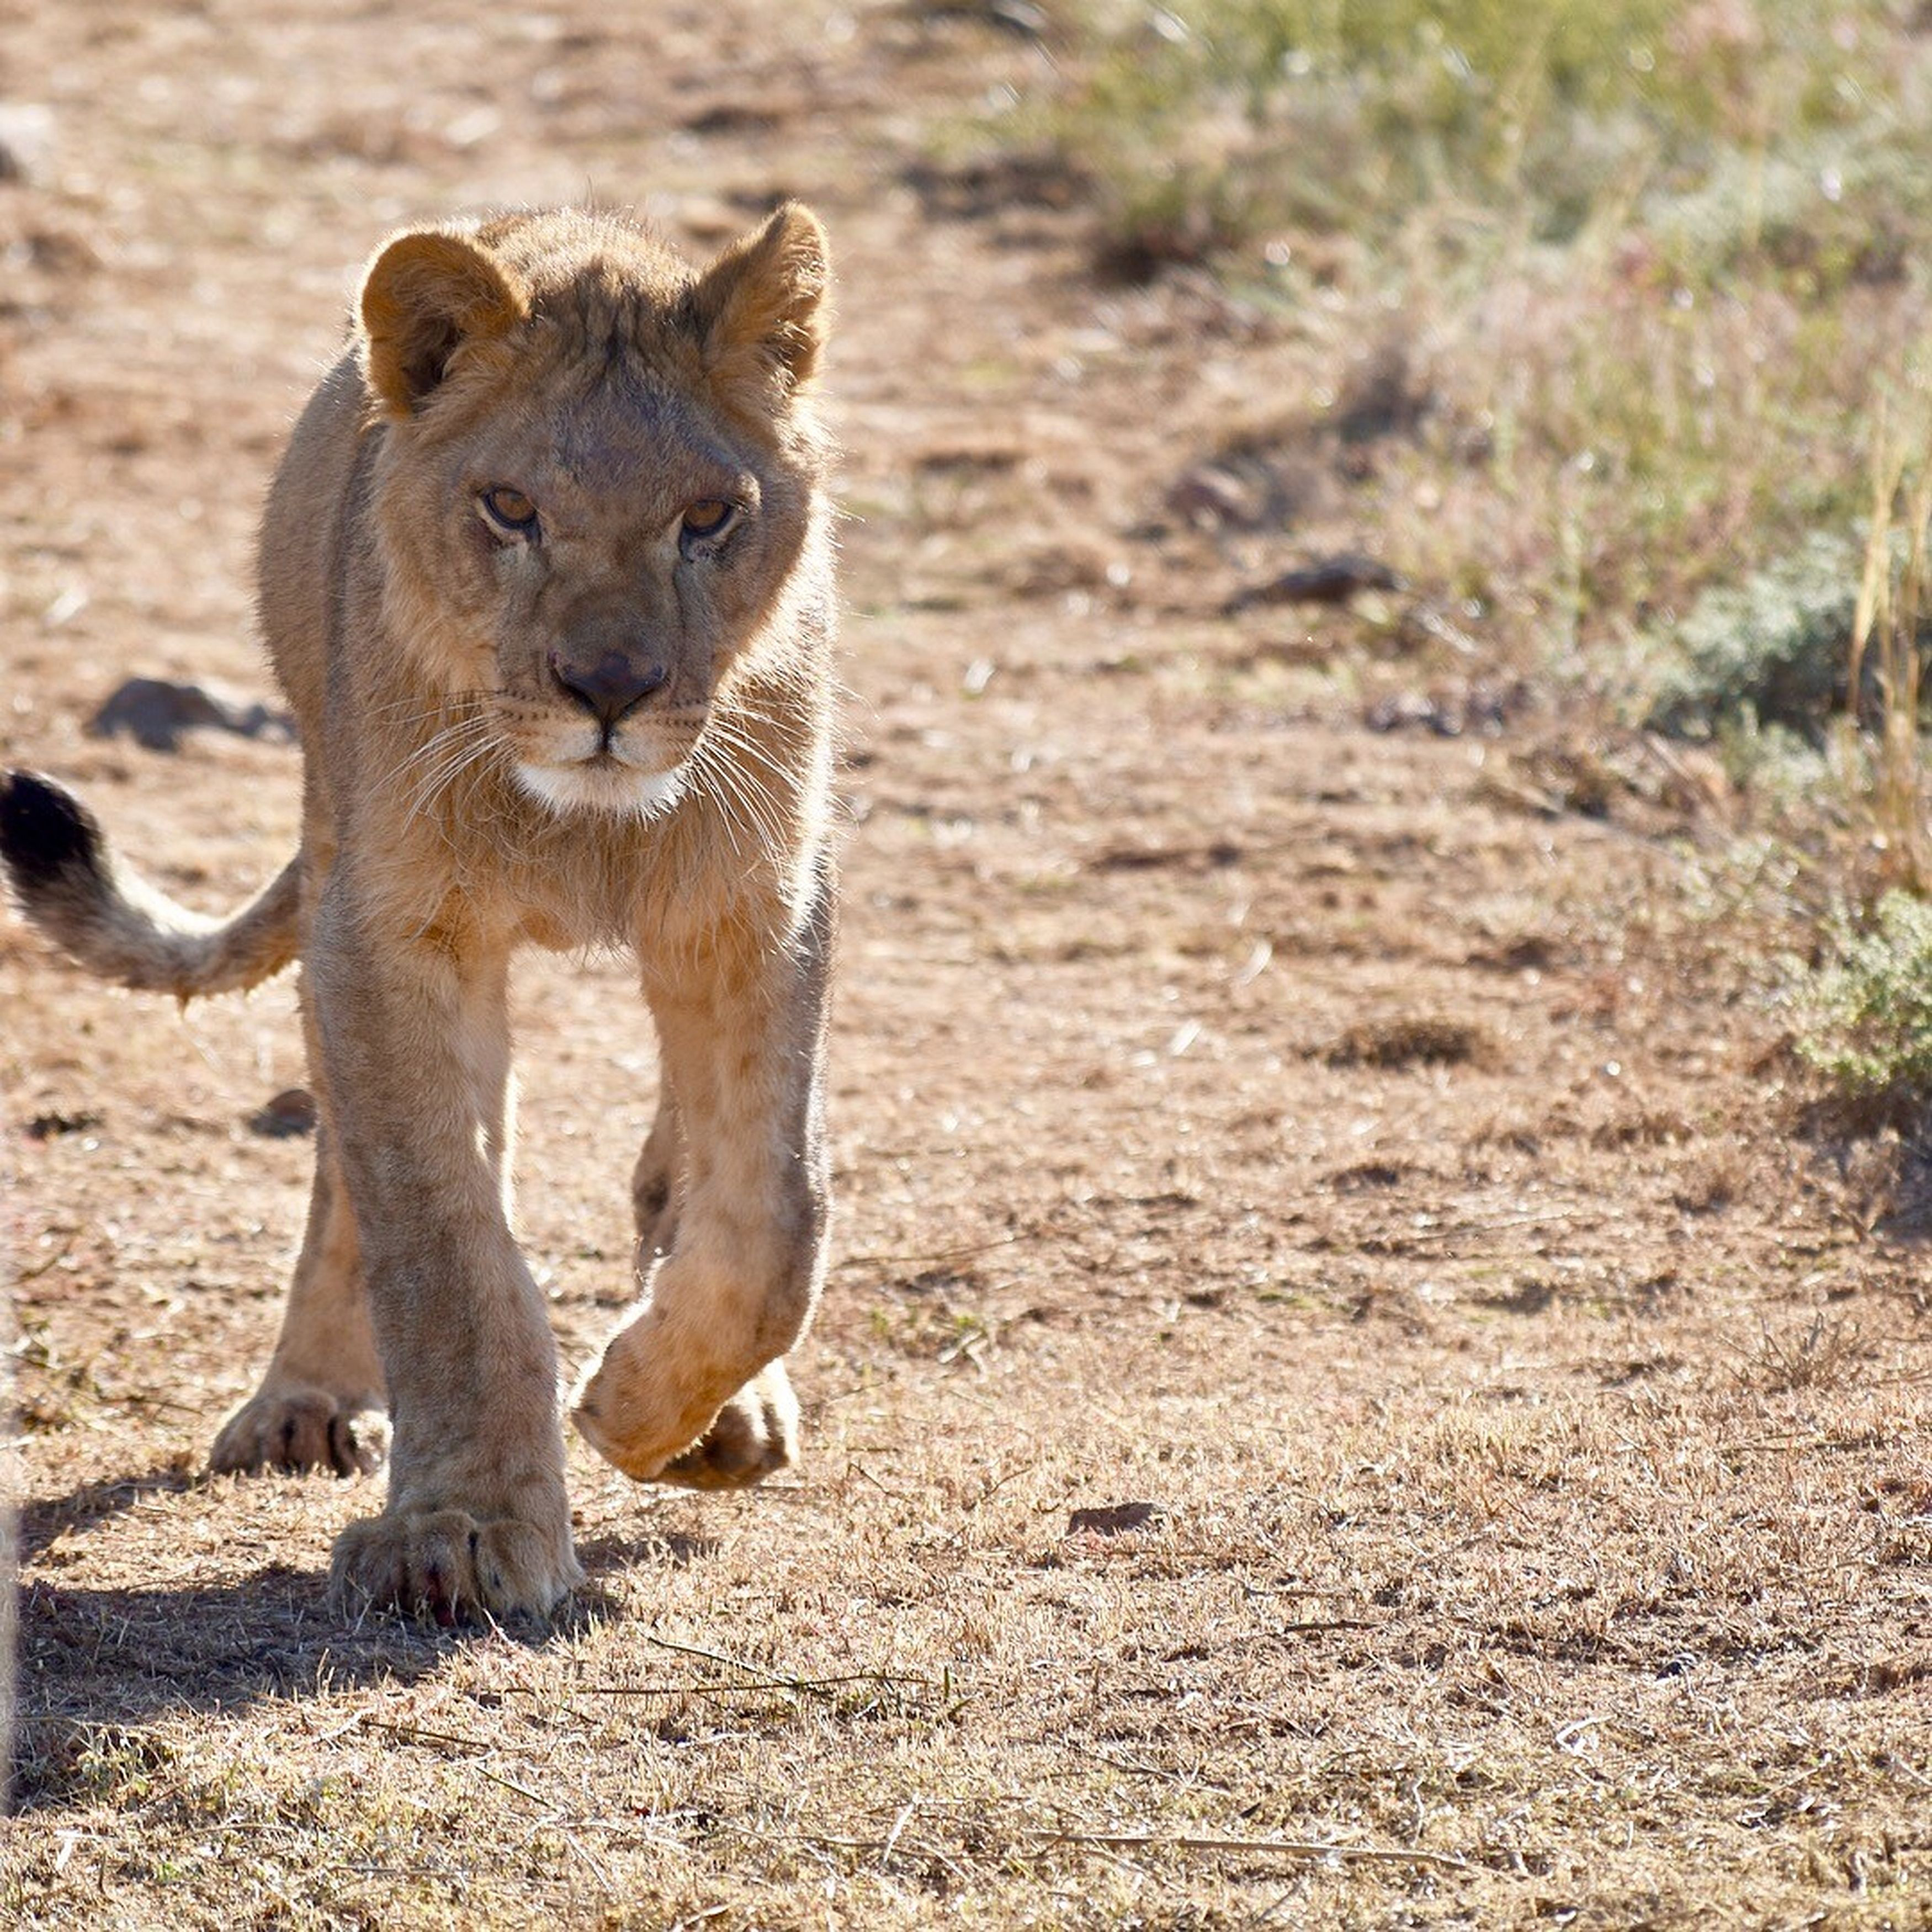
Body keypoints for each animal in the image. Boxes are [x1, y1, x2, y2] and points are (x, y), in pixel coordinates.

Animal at [0, 203, 838, 1623]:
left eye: (709, 518)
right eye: (509, 510)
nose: (609, 690)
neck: (581, 824)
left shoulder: (753, 909)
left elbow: (772, 1217)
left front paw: (637, 1407)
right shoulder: (389, 937)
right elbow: (445, 1241)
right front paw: (468, 1528)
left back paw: (721, 1412)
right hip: (341, 841)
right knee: (363, 1164)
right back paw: (305, 1403)